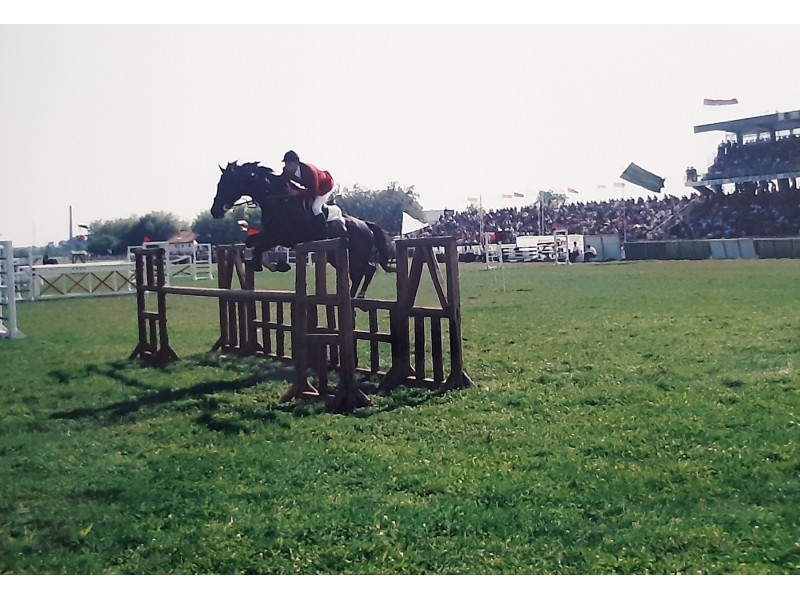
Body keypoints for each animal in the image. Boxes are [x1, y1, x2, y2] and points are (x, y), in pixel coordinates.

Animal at [211, 162, 396, 298]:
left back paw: (356, 296)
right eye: (219, 184)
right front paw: (272, 265)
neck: (279, 200)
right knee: (364, 271)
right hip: (337, 256)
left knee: (364, 271)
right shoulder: (271, 234)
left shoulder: (281, 237)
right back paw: (354, 296)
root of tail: (366, 225)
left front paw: (276, 265)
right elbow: (250, 244)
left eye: (227, 184)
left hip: (351, 256)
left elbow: (257, 248)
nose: (215, 211)